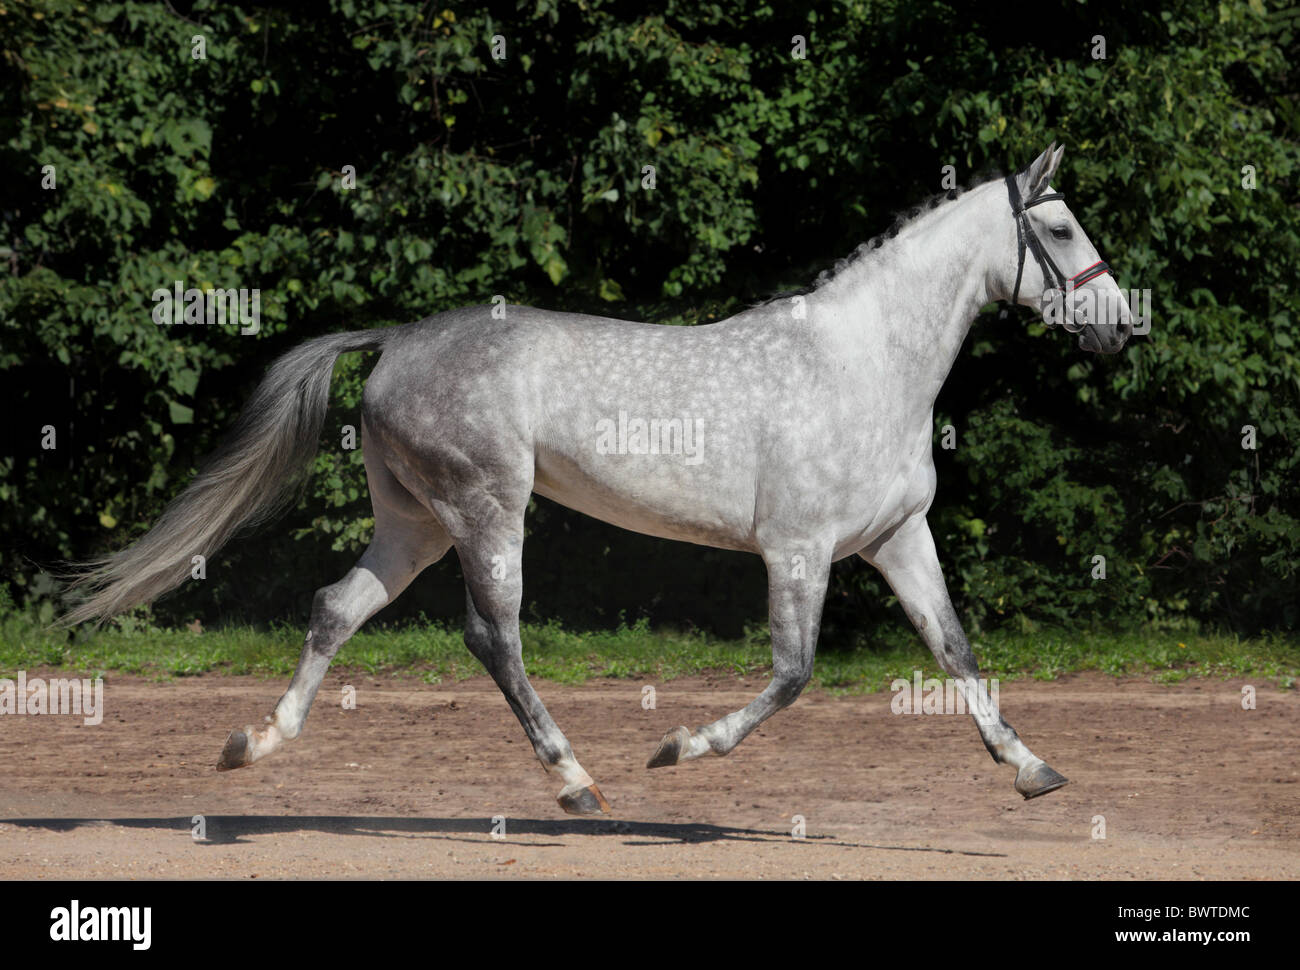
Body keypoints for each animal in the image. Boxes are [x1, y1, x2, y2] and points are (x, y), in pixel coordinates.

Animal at [62, 143, 1133, 815]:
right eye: (1063, 231)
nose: (1124, 326)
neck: (864, 363)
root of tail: (398, 339)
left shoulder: (896, 538)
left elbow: (956, 650)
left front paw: (1032, 770)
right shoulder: (799, 549)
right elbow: (793, 674)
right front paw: (679, 749)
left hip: (415, 522)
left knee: (335, 607)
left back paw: (255, 743)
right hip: (487, 510)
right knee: (493, 636)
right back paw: (578, 782)